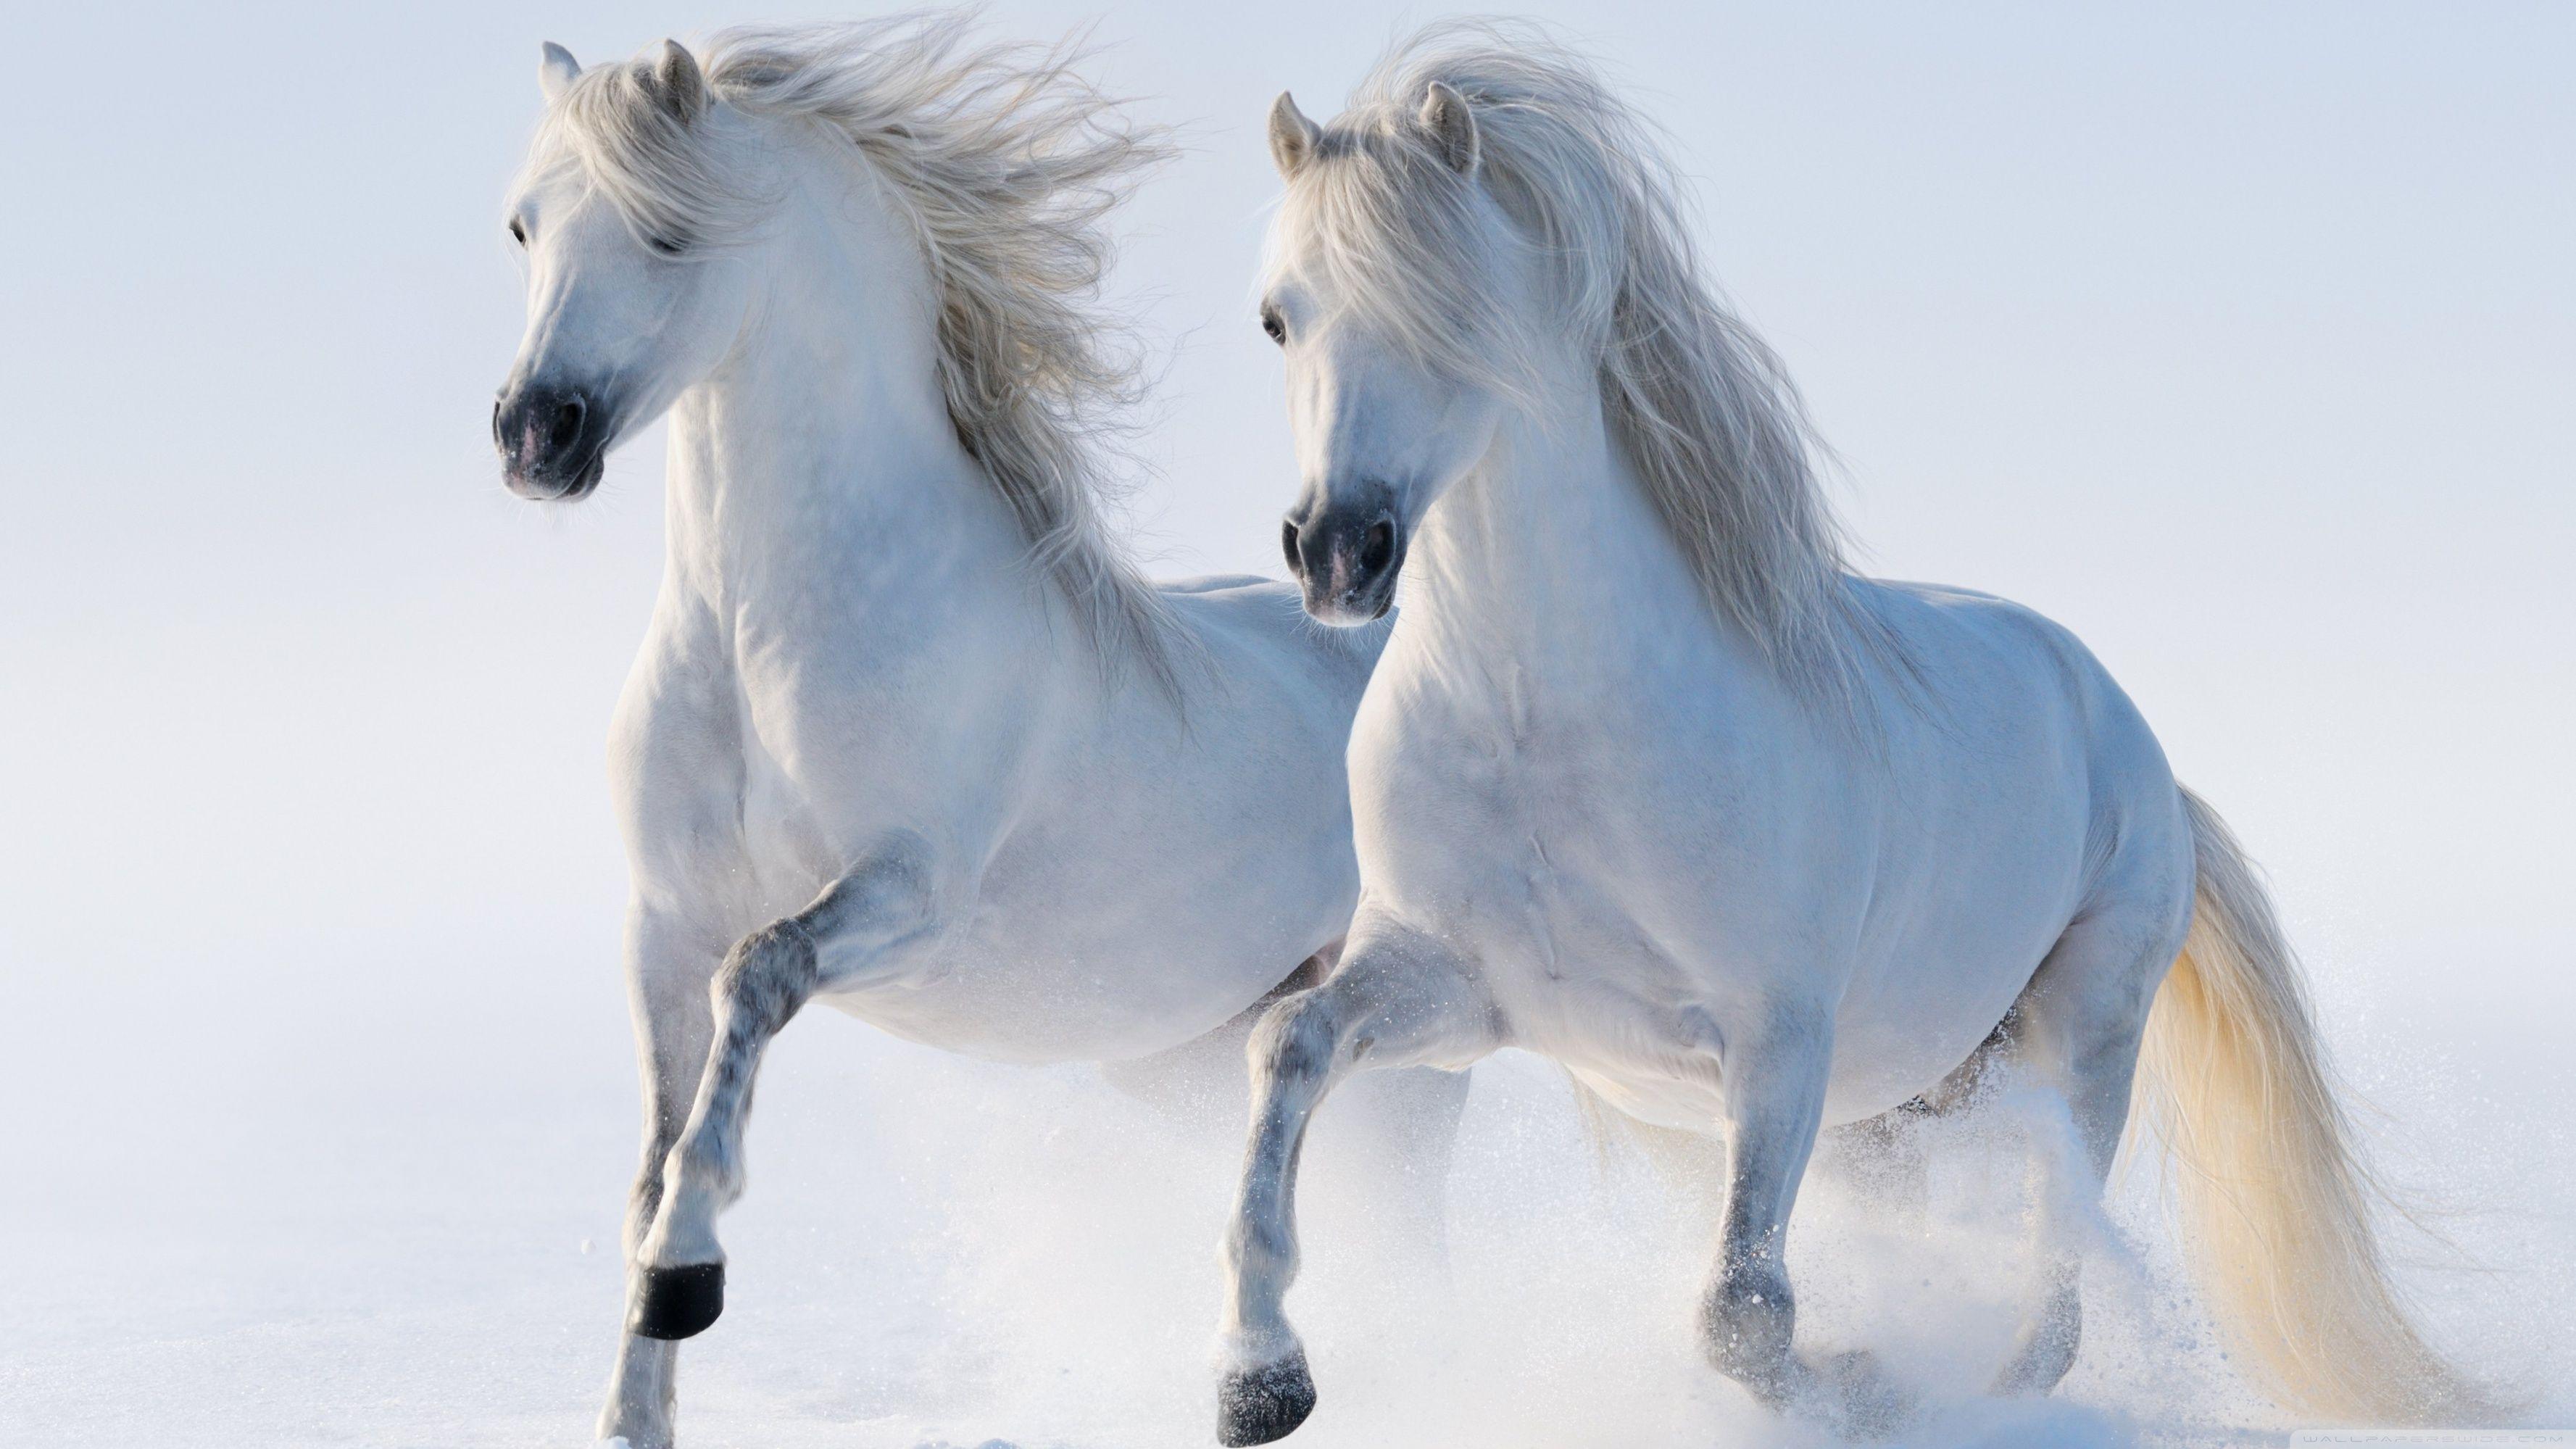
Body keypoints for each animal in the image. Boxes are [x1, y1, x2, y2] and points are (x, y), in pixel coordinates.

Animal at [489, 20, 1468, 1448]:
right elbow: (652, 1153)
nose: (534, 435)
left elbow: (756, 981)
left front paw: (687, 1275)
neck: (760, 634)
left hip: (1411, 1046)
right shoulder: (659, 922)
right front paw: (633, 1404)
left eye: (667, 232)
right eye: (524, 225)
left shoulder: (907, 893)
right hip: (1185, 1053)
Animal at [1213, 21, 2489, 1444]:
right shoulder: (1454, 988)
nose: (1338, 550)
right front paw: (1258, 1376)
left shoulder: (1776, 1041)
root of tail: (2135, 746)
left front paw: (1864, 1380)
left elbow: (1743, 1312)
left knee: (2049, 1307)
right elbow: (1286, 1042)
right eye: (1277, 317)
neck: (1542, 722)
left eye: (1449, 309)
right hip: (1893, 1111)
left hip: (2075, 1039)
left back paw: (1974, 1389)